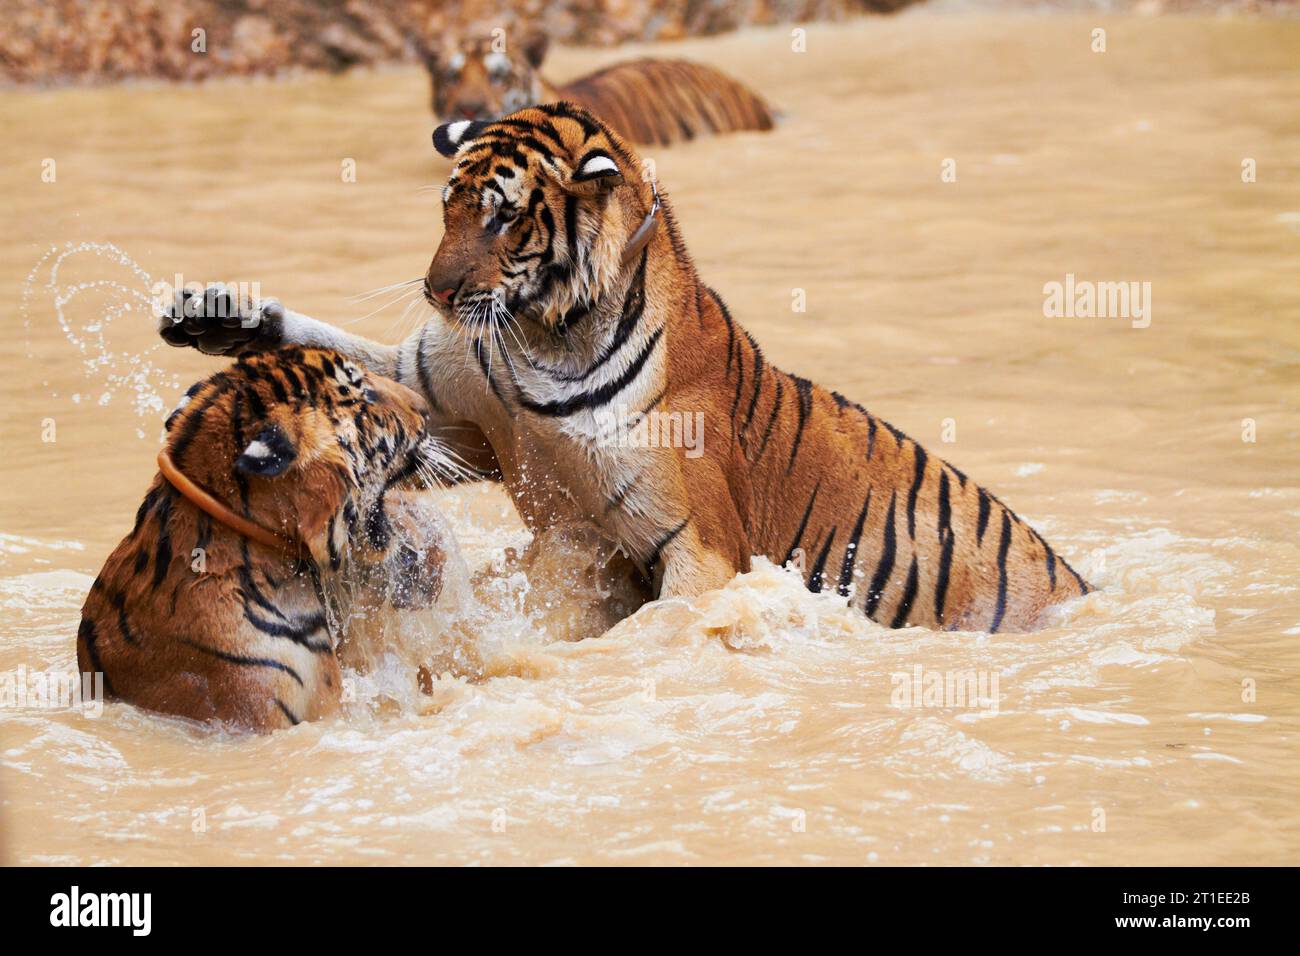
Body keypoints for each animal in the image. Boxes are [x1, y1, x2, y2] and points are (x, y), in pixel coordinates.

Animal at [161, 102, 1092, 633]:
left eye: (501, 218)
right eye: (448, 208)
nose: (435, 289)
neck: (543, 337)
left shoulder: (700, 545)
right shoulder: (447, 408)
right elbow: (344, 352)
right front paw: (214, 312)